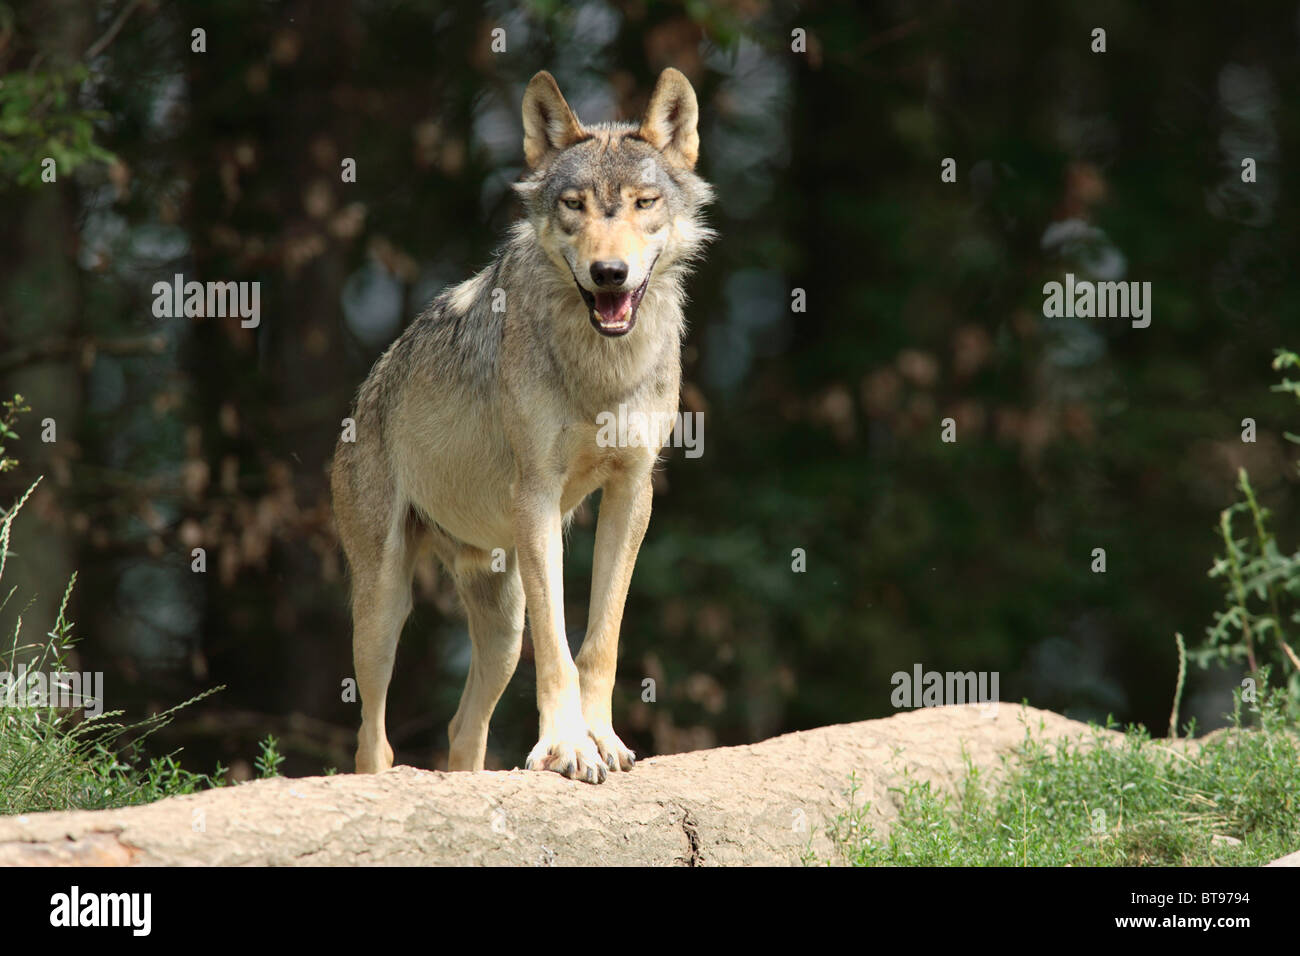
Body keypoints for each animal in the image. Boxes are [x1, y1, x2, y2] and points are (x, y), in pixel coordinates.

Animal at [331, 69, 714, 784]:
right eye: (574, 206)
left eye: (644, 202)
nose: (609, 273)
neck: (602, 370)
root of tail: (367, 391)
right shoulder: (537, 494)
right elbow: (559, 645)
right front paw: (567, 746)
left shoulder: (632, 492)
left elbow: (600, 641)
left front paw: (602, 738)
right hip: (383, 609)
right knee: (374, 742)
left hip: (501, 627)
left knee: (463, 731)